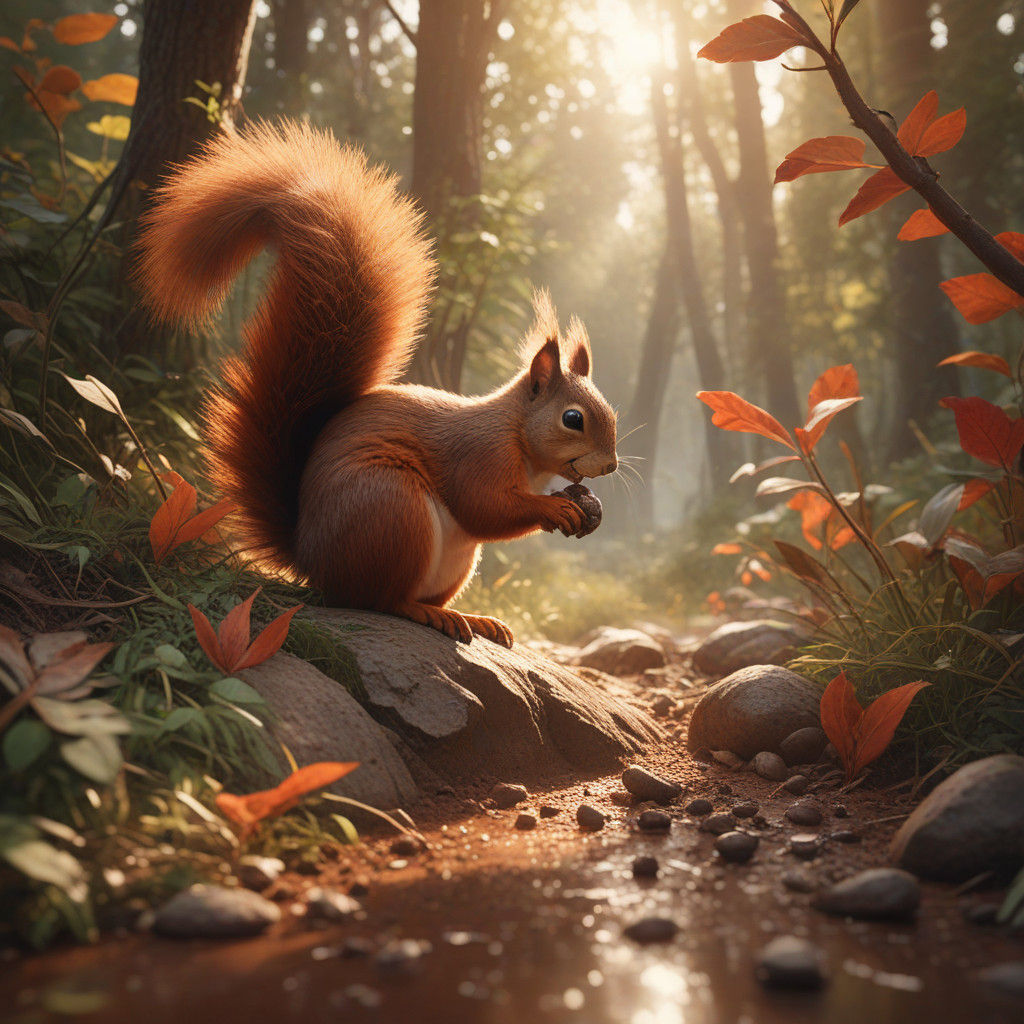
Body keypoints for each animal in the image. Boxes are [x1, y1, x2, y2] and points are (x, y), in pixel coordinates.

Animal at [135, 121, 618, 648]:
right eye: (572, 419)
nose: (611, 466)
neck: (521, 442)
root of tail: (313, 562)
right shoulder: (477, 453)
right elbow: (484, 507)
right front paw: (555, 510)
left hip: (450, 556)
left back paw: (475, 619)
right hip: (391, 508)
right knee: (378, 600)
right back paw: (427, 613)